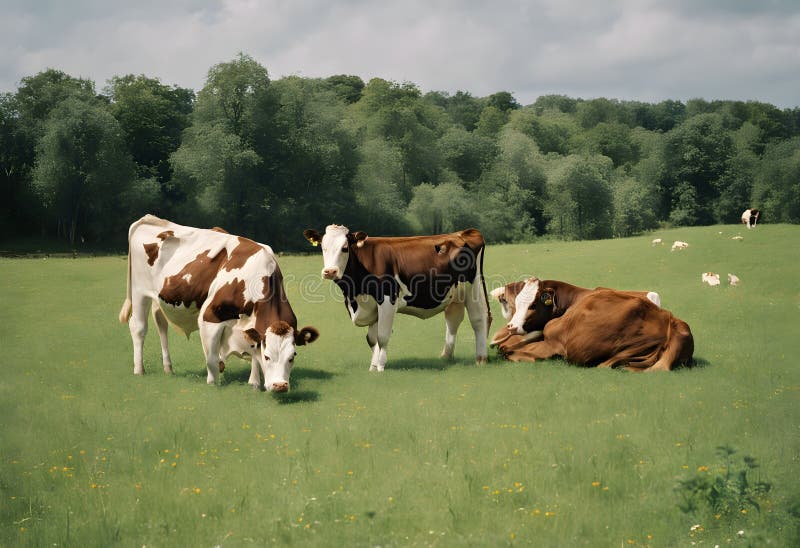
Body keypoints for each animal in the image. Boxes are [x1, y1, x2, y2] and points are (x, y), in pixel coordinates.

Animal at [119, 215, 319, 392]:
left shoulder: (251, 327)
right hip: (139, 291)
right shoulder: (210, 317)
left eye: (292, 357)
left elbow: (253, 352)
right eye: (268, 356)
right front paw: (213, 385)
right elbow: (213, 361)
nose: (280, 386)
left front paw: (254, 383)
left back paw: (168, 368)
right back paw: (139, 370)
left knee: (161, 324)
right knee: (138, 328)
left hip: (160, 298)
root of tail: (151, 219)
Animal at [302, 225, 491, 371]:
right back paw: (445, 356)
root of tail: (463, 232)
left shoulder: (386, 300)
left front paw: (380, 367)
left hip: (473, 288)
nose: (330, 271)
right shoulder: (371, 307)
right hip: (455, 294)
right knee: (453, 320)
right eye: (323, 247)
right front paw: (373, 366)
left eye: (344, 247)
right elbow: (371, 338)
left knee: (479, 320)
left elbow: (382, 336)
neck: (354, 295)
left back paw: (481, 358)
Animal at [491, 277, 693, 371]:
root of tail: (666, 322)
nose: (511, 327)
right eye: (517, 302)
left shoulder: (552, 342)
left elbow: (510, 350)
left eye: (533, 305)